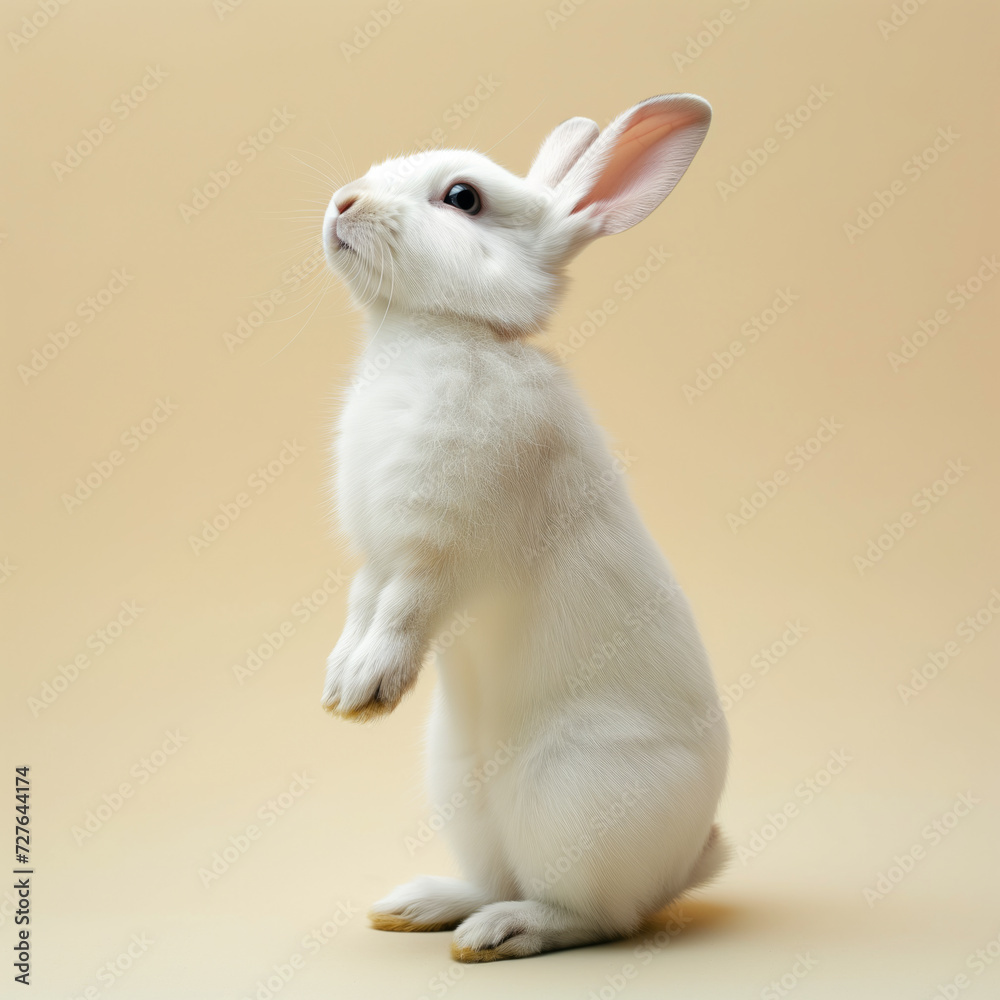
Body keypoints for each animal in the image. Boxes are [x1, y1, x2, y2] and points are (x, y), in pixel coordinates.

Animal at [319, 94, 729, 962]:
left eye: (462, 198)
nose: (342, 202)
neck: (433, 332)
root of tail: (681, 866)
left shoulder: (440, 551)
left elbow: (403, 613)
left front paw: (369, 688)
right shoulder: (376, 554)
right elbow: (363, 604)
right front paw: (339, 683)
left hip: (572, 803)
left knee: (593, 916)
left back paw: (501, 933)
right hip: (460, 793)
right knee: (498, 877)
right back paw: (422, 905)